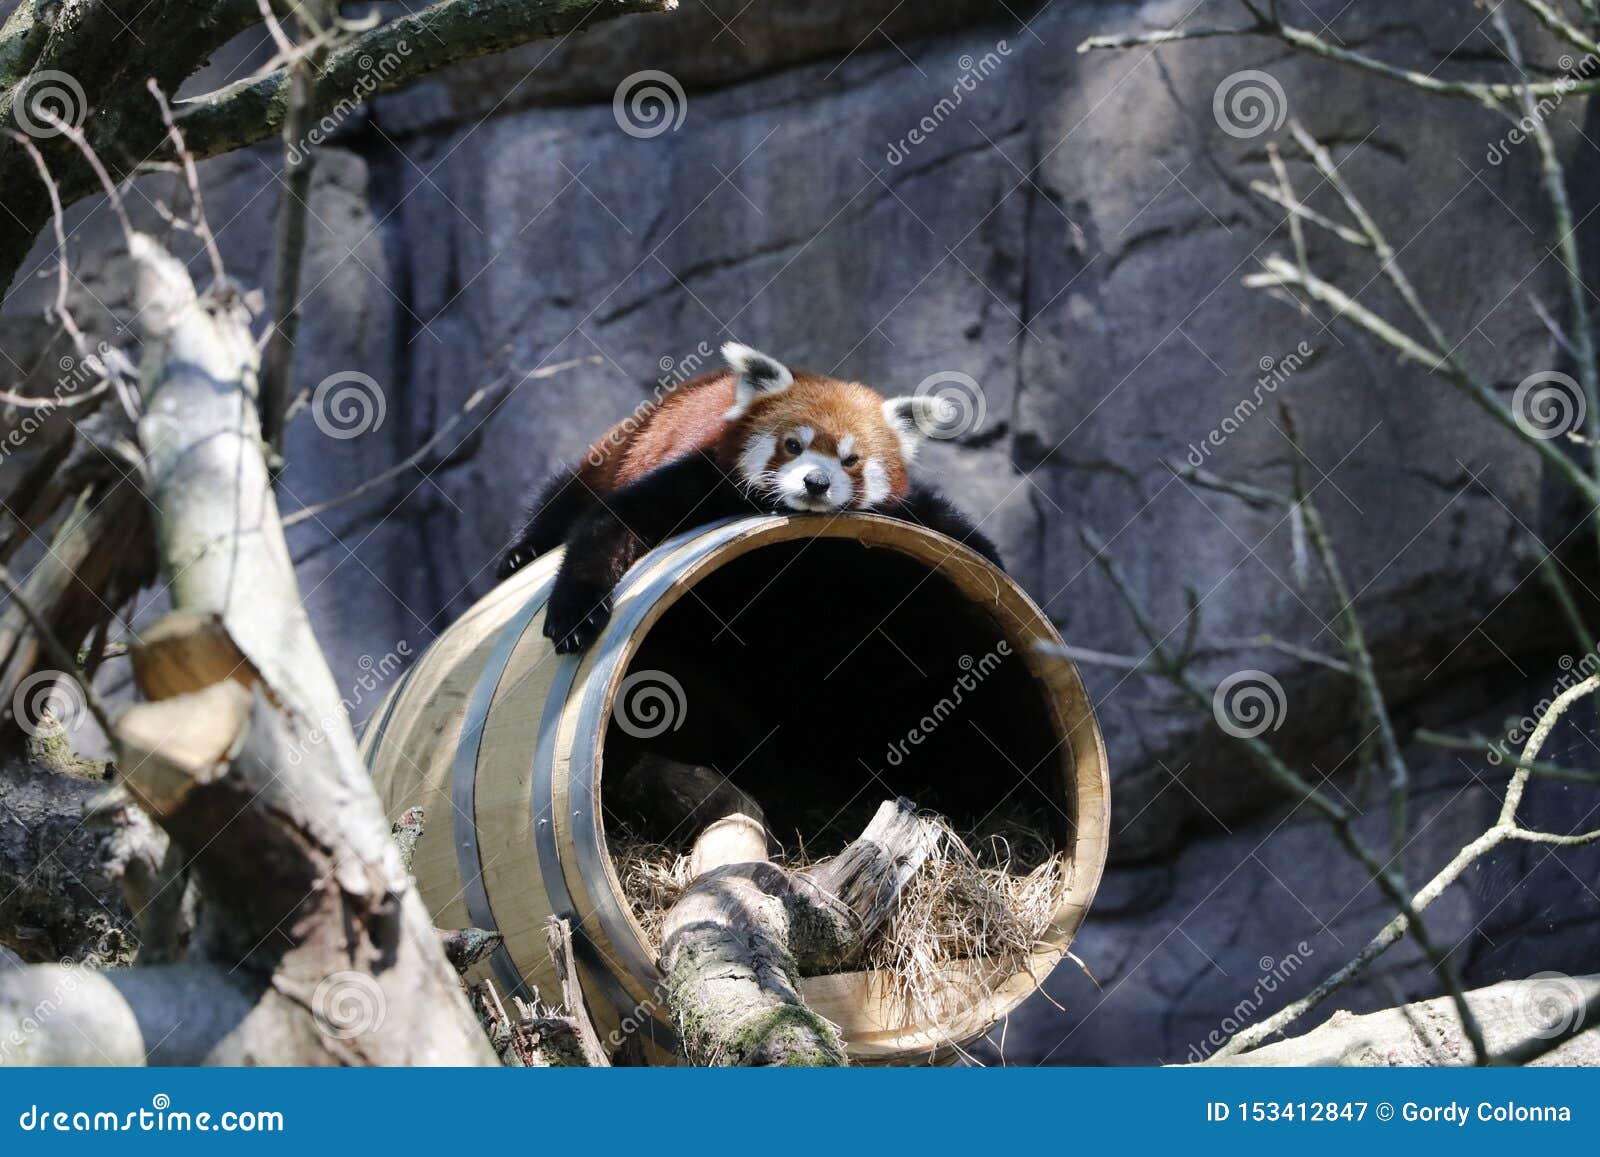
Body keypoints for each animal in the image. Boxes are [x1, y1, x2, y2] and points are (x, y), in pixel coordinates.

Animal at [500, 342, 1003, 653]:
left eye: (850, 460)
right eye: (793, 445)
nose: (816, 484)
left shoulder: (902, 505)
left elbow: (941, 517)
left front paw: (991, 566)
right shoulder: (701, 471)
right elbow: (612, 519)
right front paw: (574, 615)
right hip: (620, 446)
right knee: (566, 493)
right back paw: (521, 550)